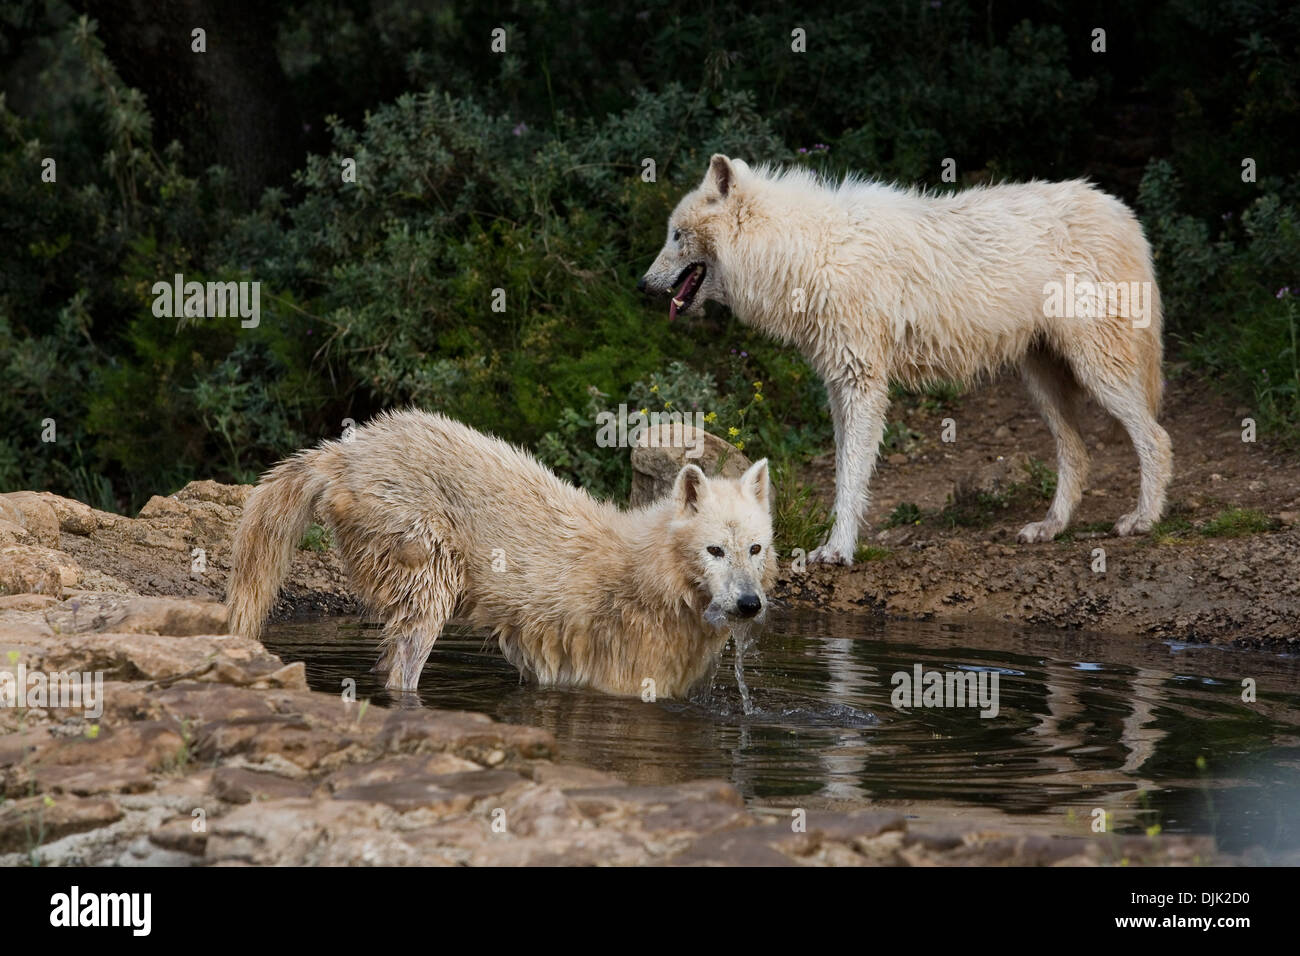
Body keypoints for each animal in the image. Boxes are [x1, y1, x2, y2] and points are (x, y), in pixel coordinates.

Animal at [226, 410, 775, 697]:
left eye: (755, 548)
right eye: (714, 550)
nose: (749, 605)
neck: (655, 578)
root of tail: (343, 453)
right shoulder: (627, 680)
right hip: (426, 563)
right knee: (404, 663)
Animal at [639, 155, 1172, 564]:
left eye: (676, 235)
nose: (643, 286)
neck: (806, 252)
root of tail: (1122, 211)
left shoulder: (862, 383)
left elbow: (850, 477)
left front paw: (836, 552)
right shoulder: (840, 385)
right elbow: (844, 473)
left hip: (1098, 370)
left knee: (1156, 438)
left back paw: (1143, 520)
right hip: (1043, 380)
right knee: (1078, 454)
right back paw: (1050, 528)